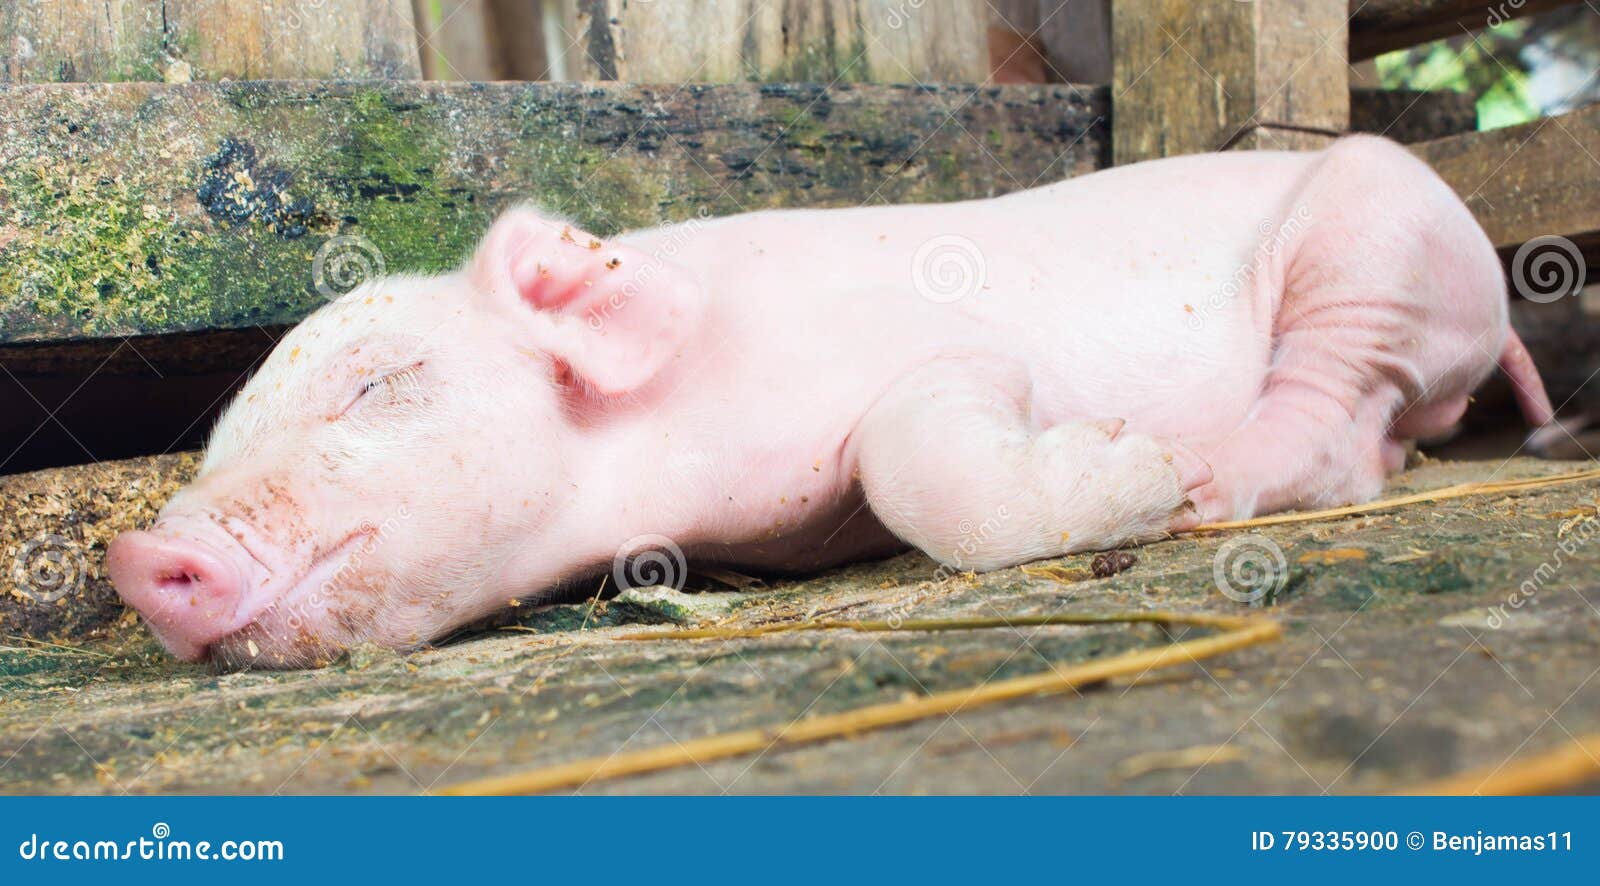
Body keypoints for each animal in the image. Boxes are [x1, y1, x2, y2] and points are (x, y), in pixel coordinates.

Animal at [107, 135, 1555, 668]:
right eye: (220, 434)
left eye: (383, 381)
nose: (135, 552)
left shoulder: (954, 357)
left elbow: (925, 461)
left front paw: (1129, 462)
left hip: (1376, 242)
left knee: (1327, 418)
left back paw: (1201, 479)